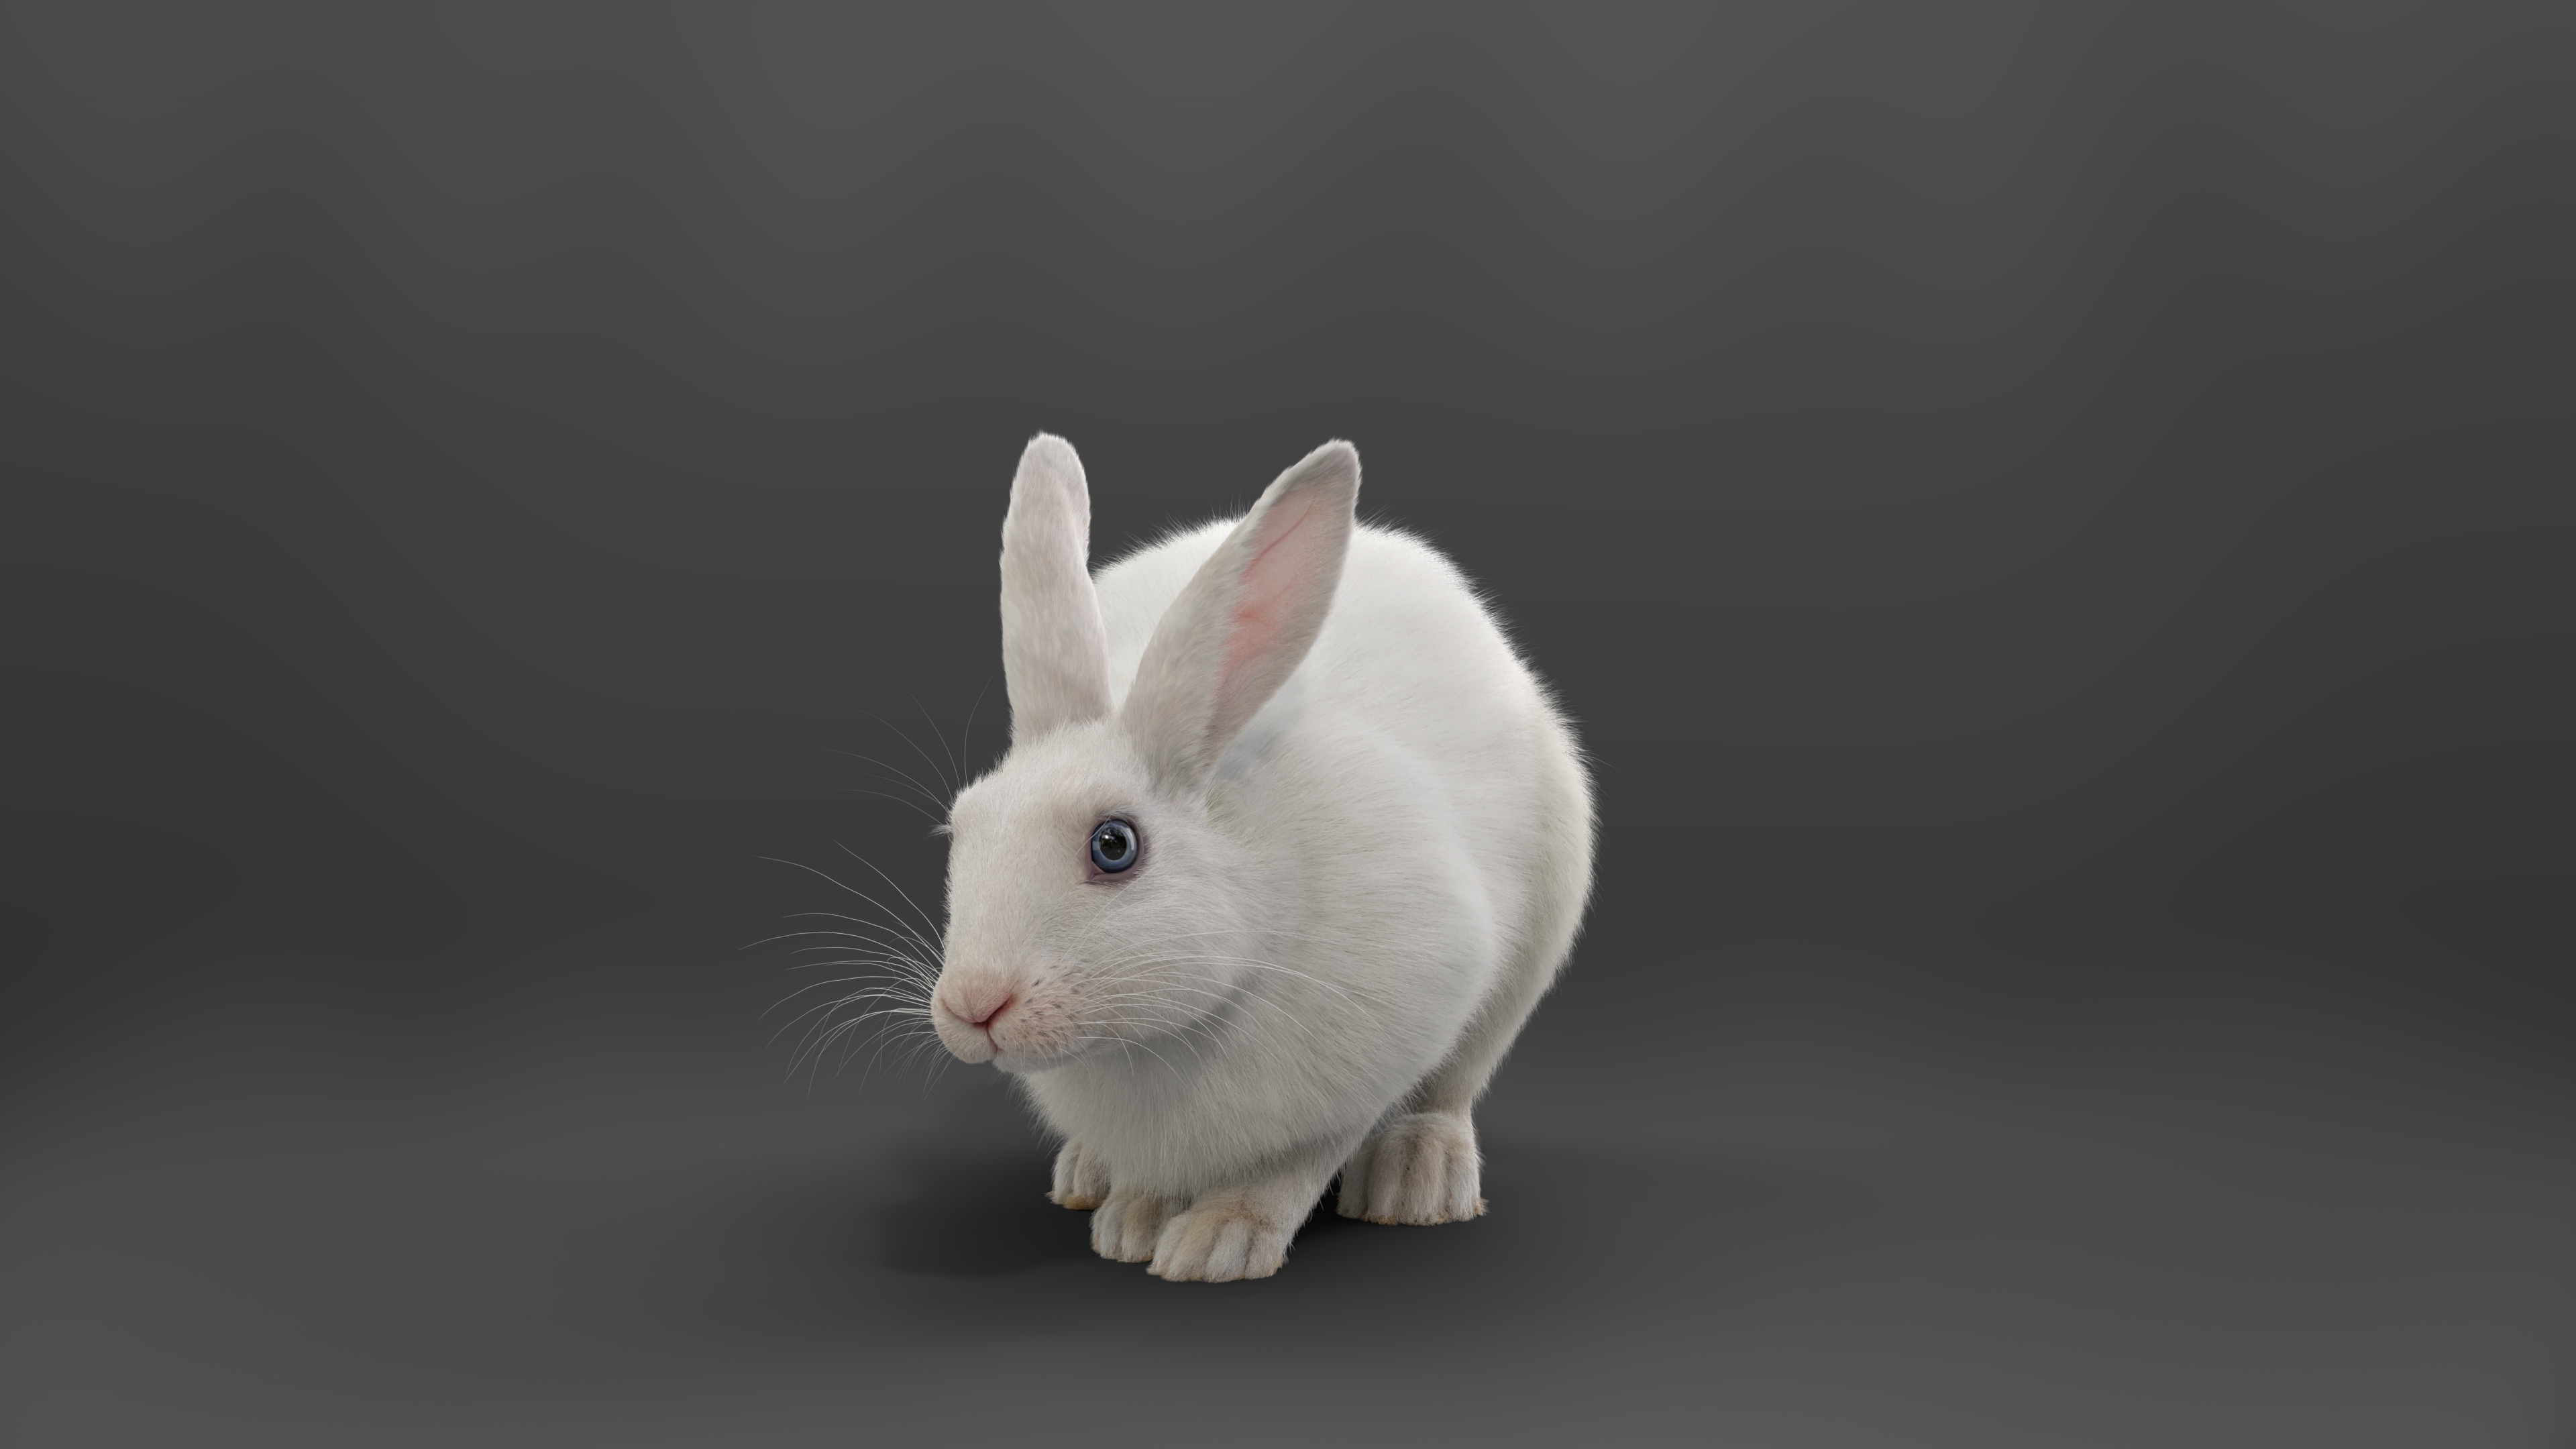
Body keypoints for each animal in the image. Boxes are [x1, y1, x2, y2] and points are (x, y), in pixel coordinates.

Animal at [929, 433, 1593, 1281]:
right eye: (962, 829)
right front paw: (1132, 1222)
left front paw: (1216, 1242)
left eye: (1114, 846)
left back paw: (1418, 1178)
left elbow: (1293, 1164)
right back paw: (1084, 1176)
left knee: (1451, 1089)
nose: (973, 1006)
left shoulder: (1384, 1037)